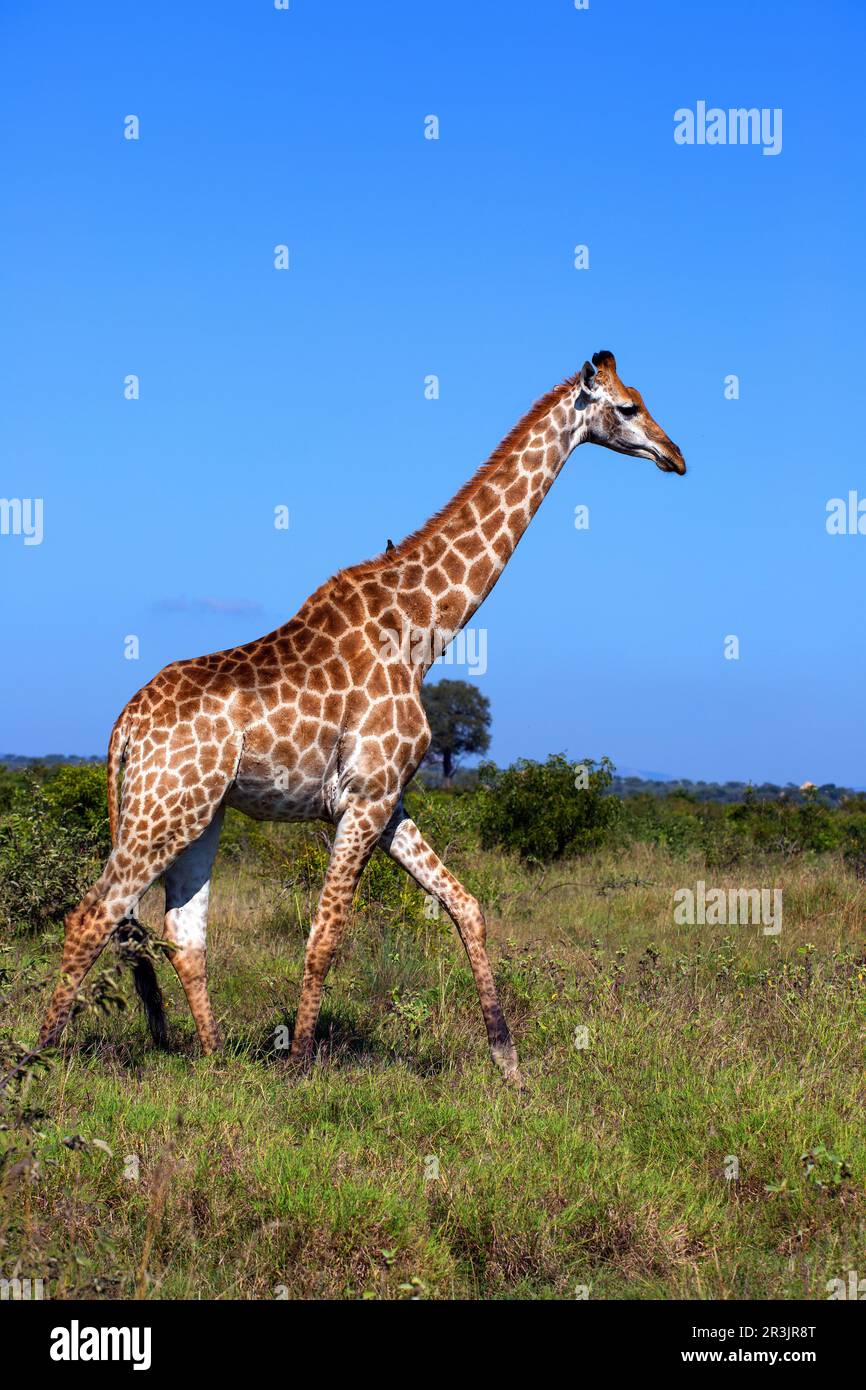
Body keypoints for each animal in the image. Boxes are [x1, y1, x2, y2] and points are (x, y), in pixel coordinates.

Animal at [38, 350, 685, 1083]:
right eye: (629, 407)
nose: (676, 455)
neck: (422, 630)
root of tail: (123, 727)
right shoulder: (362, 801)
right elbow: (325, 937)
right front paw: (299, 1066)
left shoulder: (389, 799)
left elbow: (466, 906)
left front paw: (509, 1066)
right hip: (163, 807)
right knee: (92, 916)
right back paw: (40, 1059)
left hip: (200, 812)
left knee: (183, 932)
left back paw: (215, 1063)